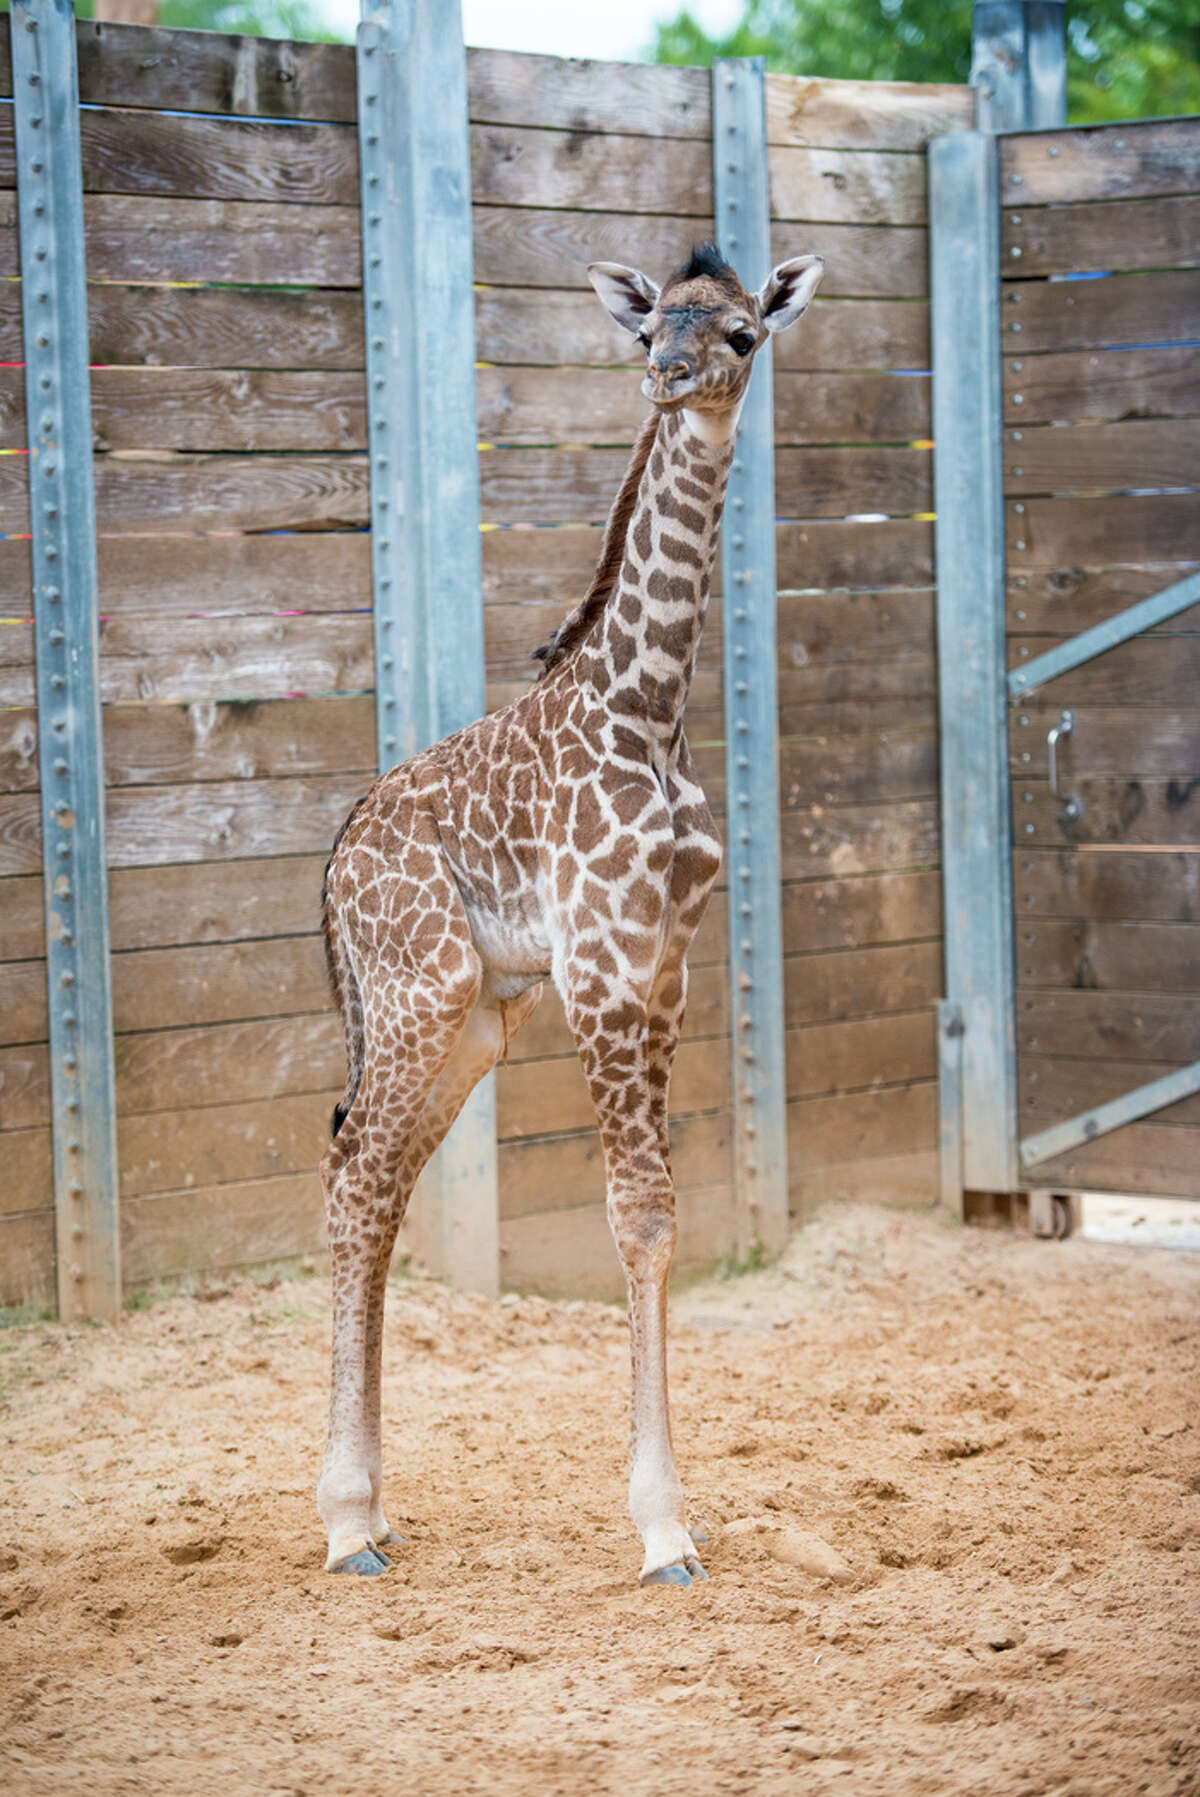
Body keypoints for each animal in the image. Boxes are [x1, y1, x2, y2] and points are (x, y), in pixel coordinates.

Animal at [317, 241, 824, 1586]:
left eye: (743, 333)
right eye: (650, 330)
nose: (671, 378)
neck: (648, 707)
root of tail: (332, 870)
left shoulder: (665, 967)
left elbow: (661, 1218)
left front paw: (670, 1518)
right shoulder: (598, 965)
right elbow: (632, 1212)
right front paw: (661, 1531)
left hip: (472, 1019)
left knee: (377, 1183)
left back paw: (376, 1513)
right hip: (420, 991)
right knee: (353, 1177)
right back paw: (342, 1523)